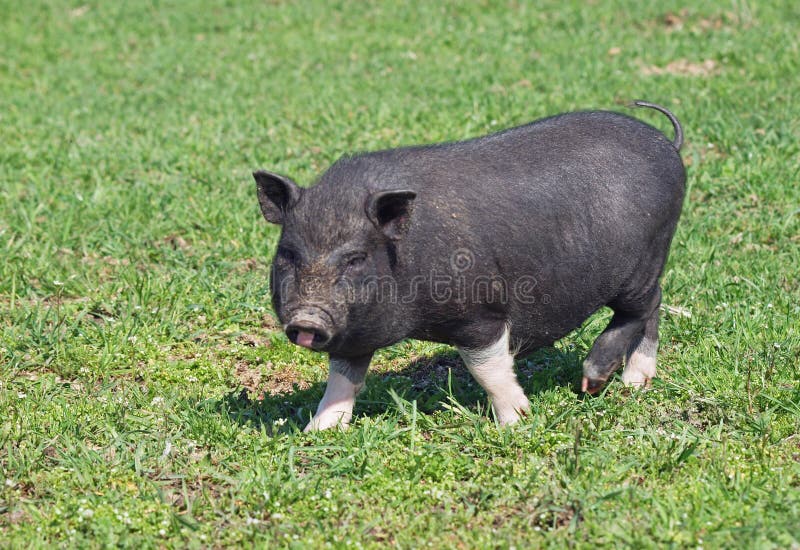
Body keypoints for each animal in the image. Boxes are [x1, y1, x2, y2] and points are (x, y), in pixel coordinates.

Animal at [253, 100, 685, 431]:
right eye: (288, 253)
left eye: (356, 258)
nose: (307, 320)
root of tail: (668, 144)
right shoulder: (356, 332)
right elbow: (342, 379)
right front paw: (317, 432)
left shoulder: (481, 314)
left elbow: (487, 368)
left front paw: (517, 422)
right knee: (654, 307)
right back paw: (634, 384)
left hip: (645, 258)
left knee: (643, 307)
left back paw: (593, 382)